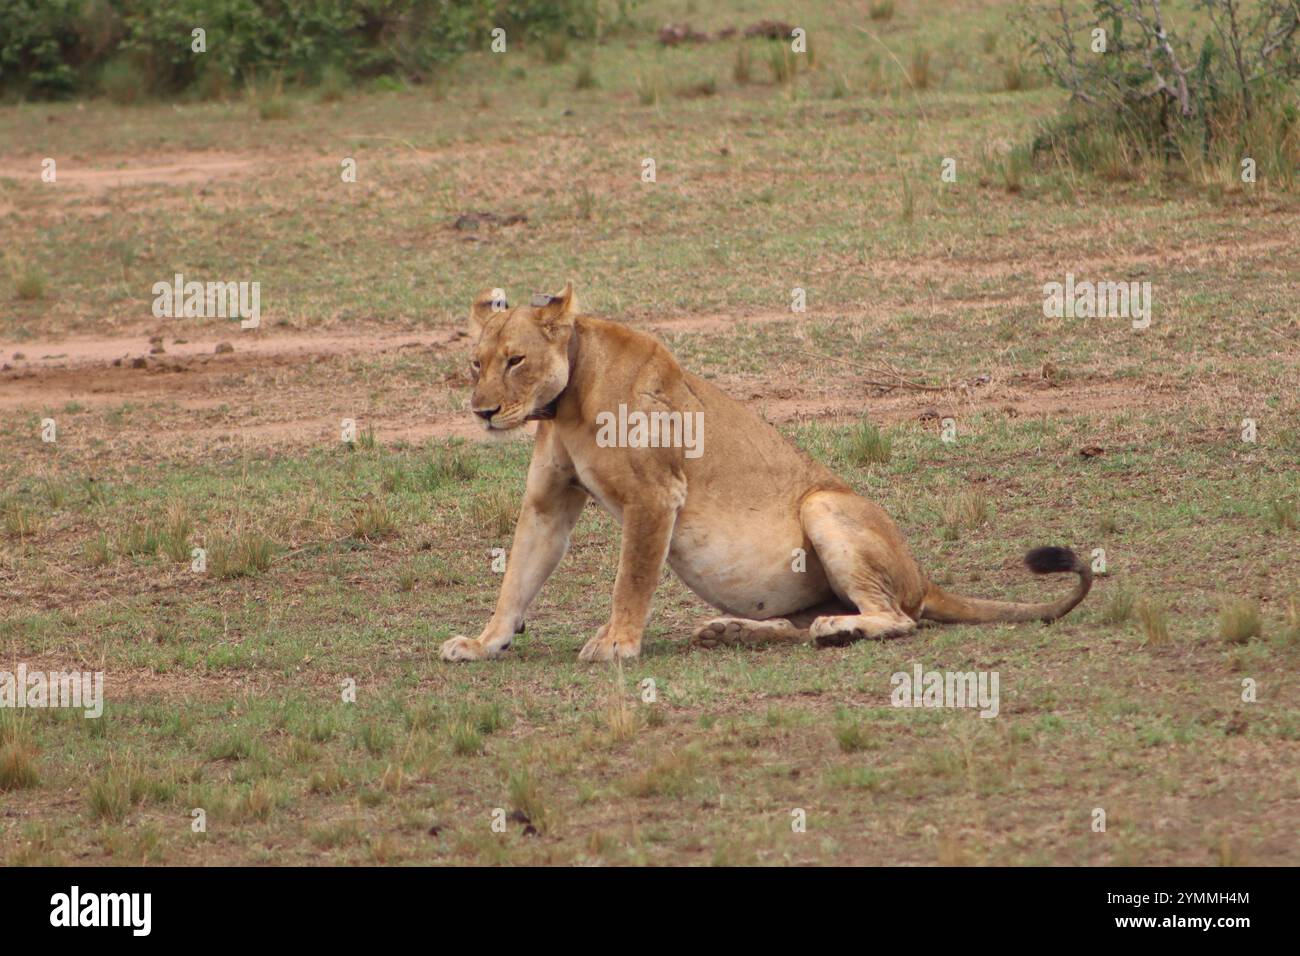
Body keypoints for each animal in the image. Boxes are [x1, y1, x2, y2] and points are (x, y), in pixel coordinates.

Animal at [440, 282, 1091, 663]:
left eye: (516, 360)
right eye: (476, 363)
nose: (482, 411)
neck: (568, 401)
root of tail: (924, 577)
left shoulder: (656, 497)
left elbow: (632, 579)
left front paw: (616, 644)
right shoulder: (548, 503)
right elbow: (517, 578)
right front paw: (483, 643)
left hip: (823, 505)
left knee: (900, 619)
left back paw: (836, 630)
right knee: (806, 625)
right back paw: (739, 632)